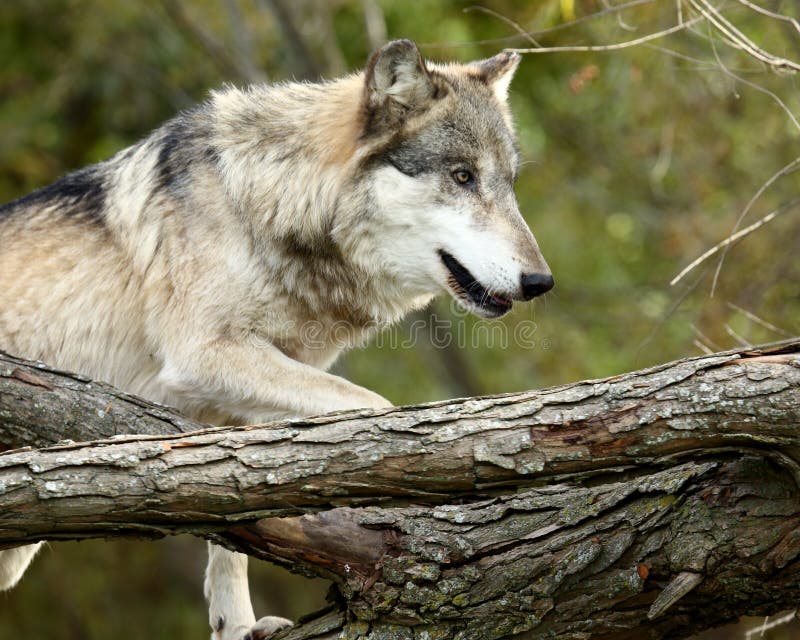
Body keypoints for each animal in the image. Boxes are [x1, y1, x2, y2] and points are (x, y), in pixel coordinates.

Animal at [0, 40, 552, 639]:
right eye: (462, 176)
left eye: (509, 183)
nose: (540, 281)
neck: (264, 204)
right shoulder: (205, 354)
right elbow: (373, 407)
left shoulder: (244, 406)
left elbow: (236, 519)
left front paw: (236, 628)